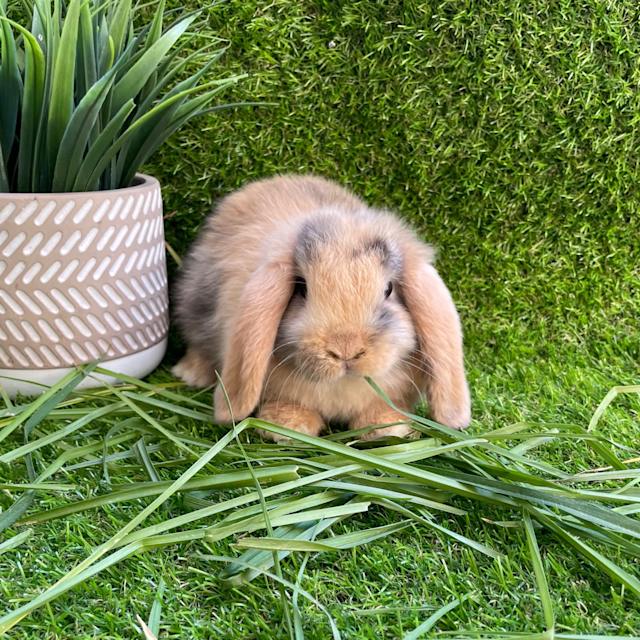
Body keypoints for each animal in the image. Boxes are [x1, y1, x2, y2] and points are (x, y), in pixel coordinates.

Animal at [172, 175, 471, 441]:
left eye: (389, 289)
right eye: (302, 288)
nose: (345, 349)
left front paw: (386, 429)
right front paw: (286, 427)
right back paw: (191, 374)